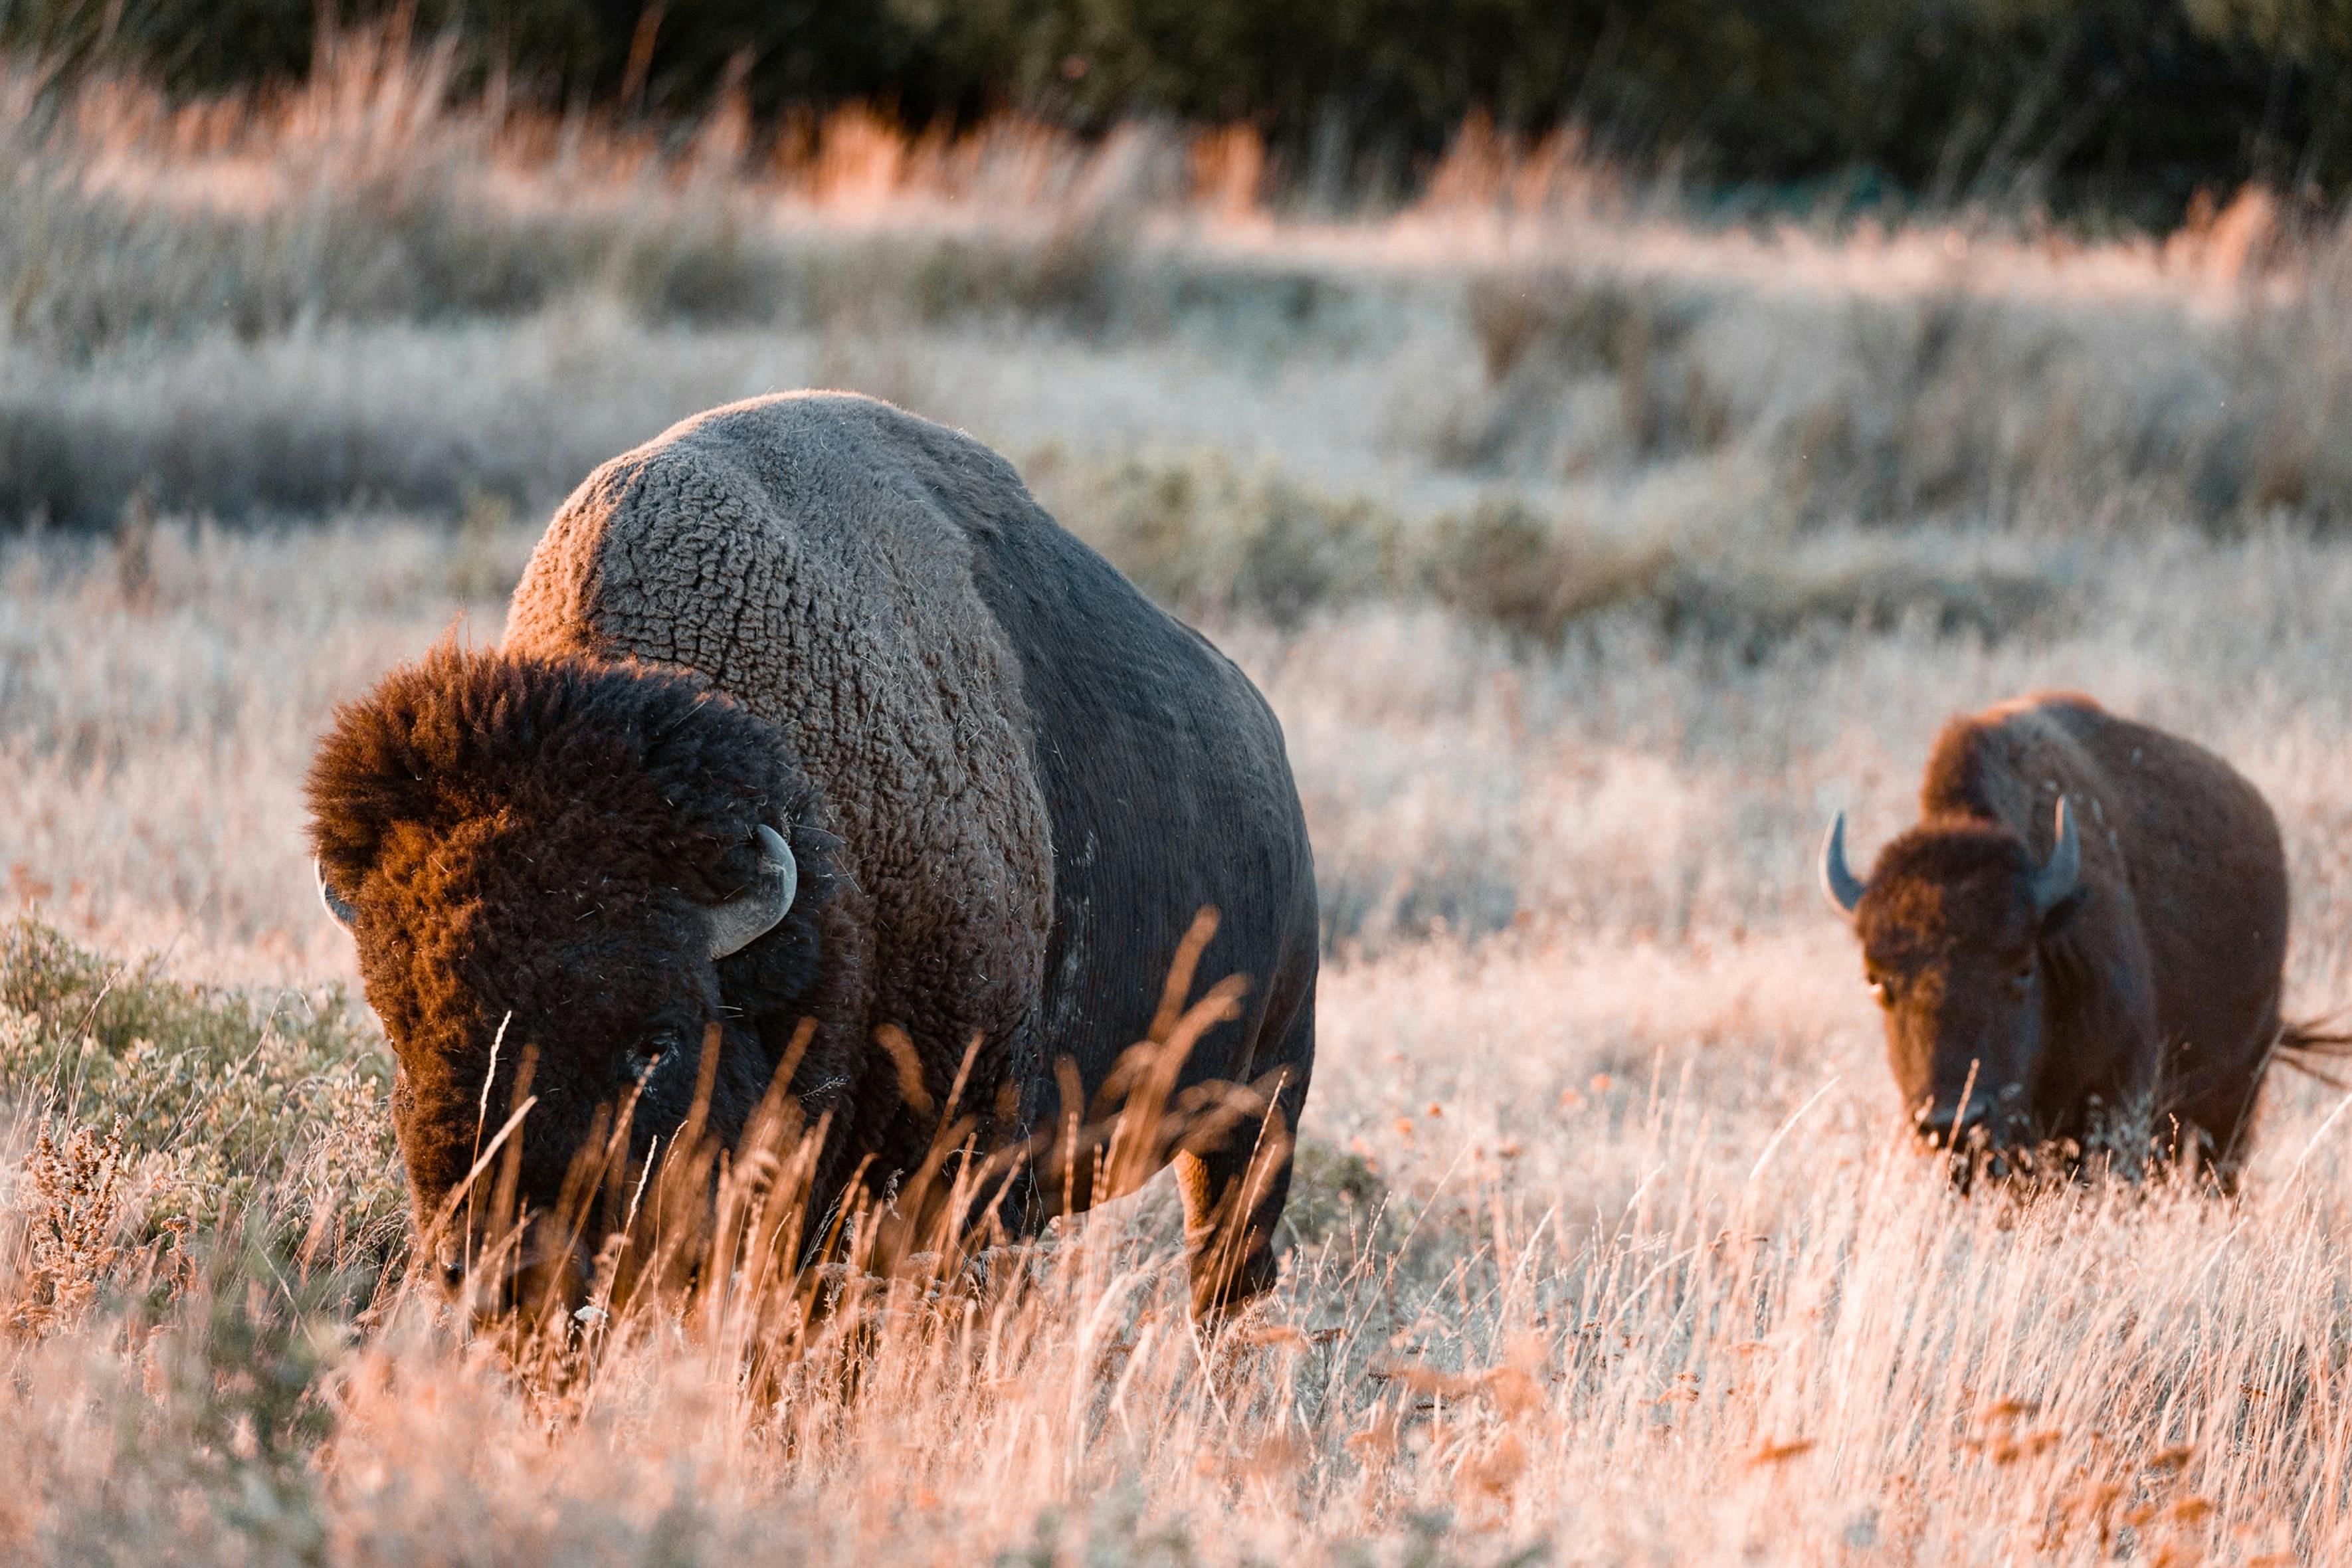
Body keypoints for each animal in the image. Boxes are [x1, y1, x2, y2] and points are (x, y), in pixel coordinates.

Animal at [308, 393, 1318, 1323]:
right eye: (403, 1028)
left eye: (656, 1042)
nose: (502, 1269)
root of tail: (1266, 735)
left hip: (1262, 1100)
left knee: (1229, 1261)